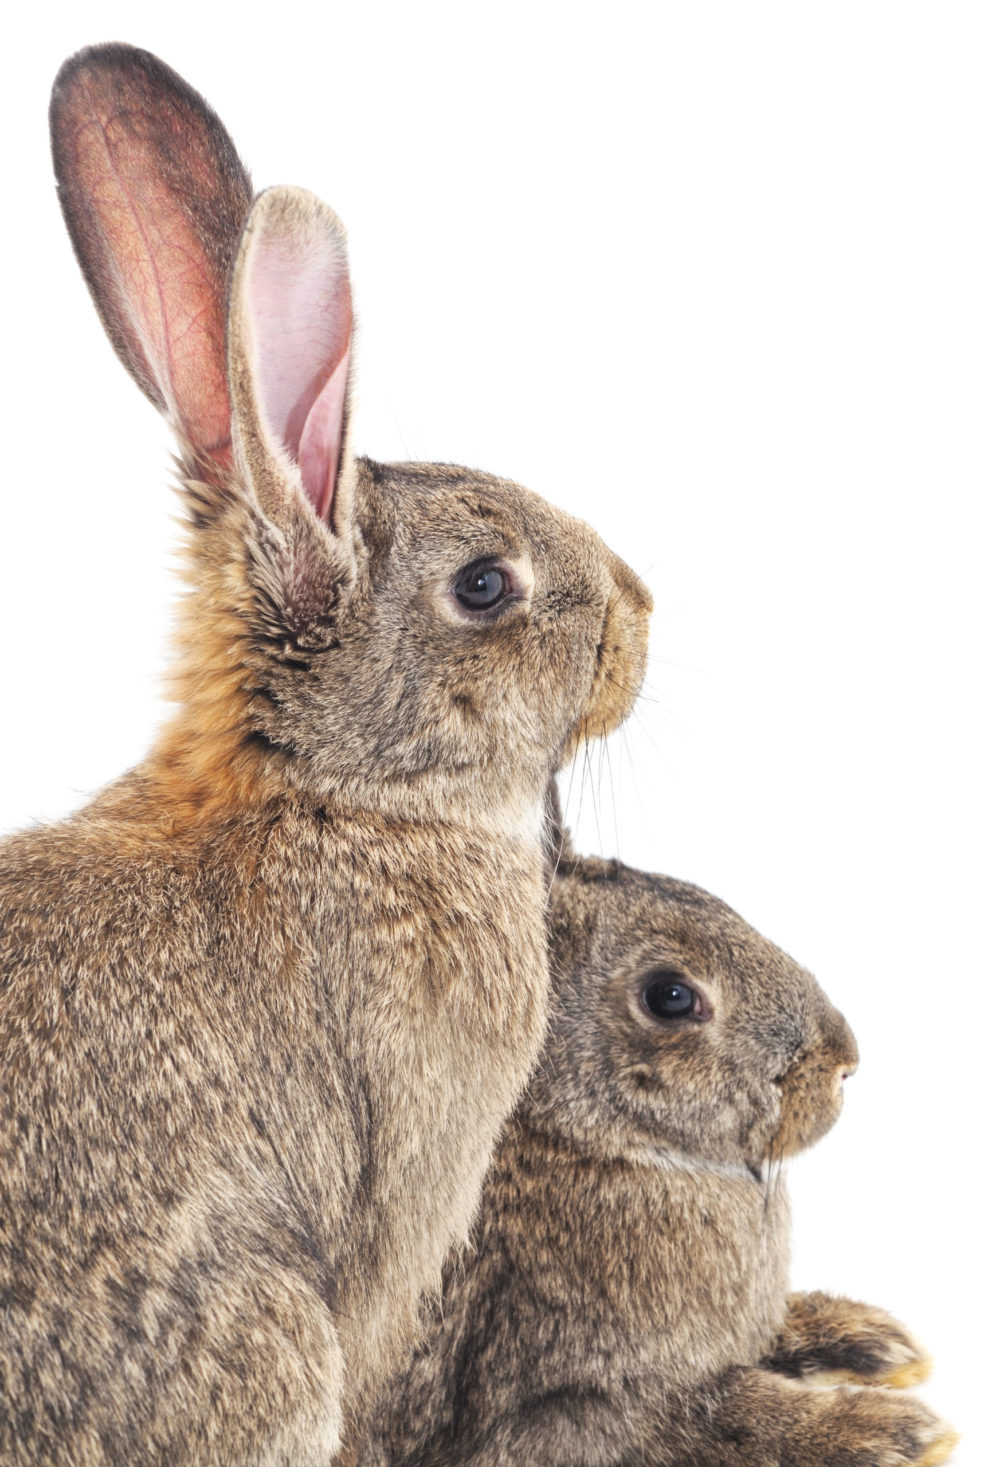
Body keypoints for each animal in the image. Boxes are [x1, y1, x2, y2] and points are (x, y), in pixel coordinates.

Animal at [361, 847, 958, 1467]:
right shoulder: (574, 1402)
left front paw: (874, 1342)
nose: (844, 1062)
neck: (578, 1138)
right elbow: (736, 1416)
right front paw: (890, 1433)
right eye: (670, 996)